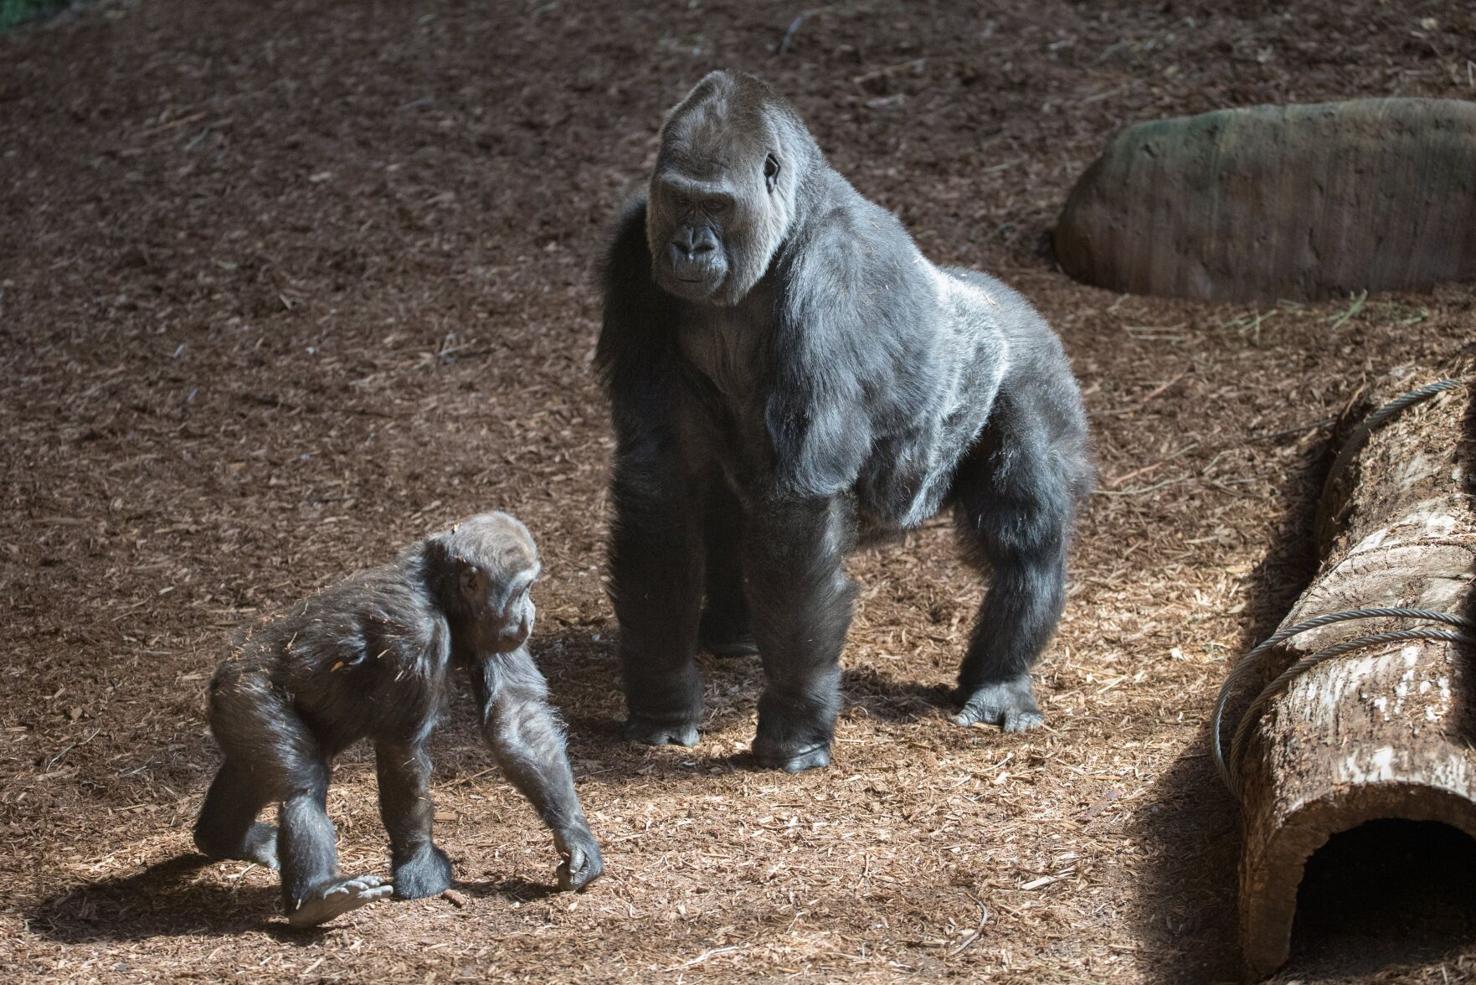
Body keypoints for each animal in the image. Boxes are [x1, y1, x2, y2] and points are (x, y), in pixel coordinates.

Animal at [193, 512, 603, 927]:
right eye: (523, 590)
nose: (530, 613)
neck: (438, 590)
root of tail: (221, 675)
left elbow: (515, 718)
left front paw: (574, 839)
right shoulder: (414, 632)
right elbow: (401, 750)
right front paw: (418, 864)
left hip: (241, 713)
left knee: (252, 768)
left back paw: (222, 839)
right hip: (249, 694)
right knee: (302, 784)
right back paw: (315, 897)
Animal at [596, 71, 1093, 773]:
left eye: (716, 206)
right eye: (678, 199)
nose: (688, 245)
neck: (789, 216)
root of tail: (1018, 303)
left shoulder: (830, 281)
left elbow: (799, 510)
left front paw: (795, 724)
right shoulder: (632, 256)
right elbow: (660, 484)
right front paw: (664, 701)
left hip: (1035, 375)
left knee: (1026, 535)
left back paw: (1000, 678)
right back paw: (734, 631)